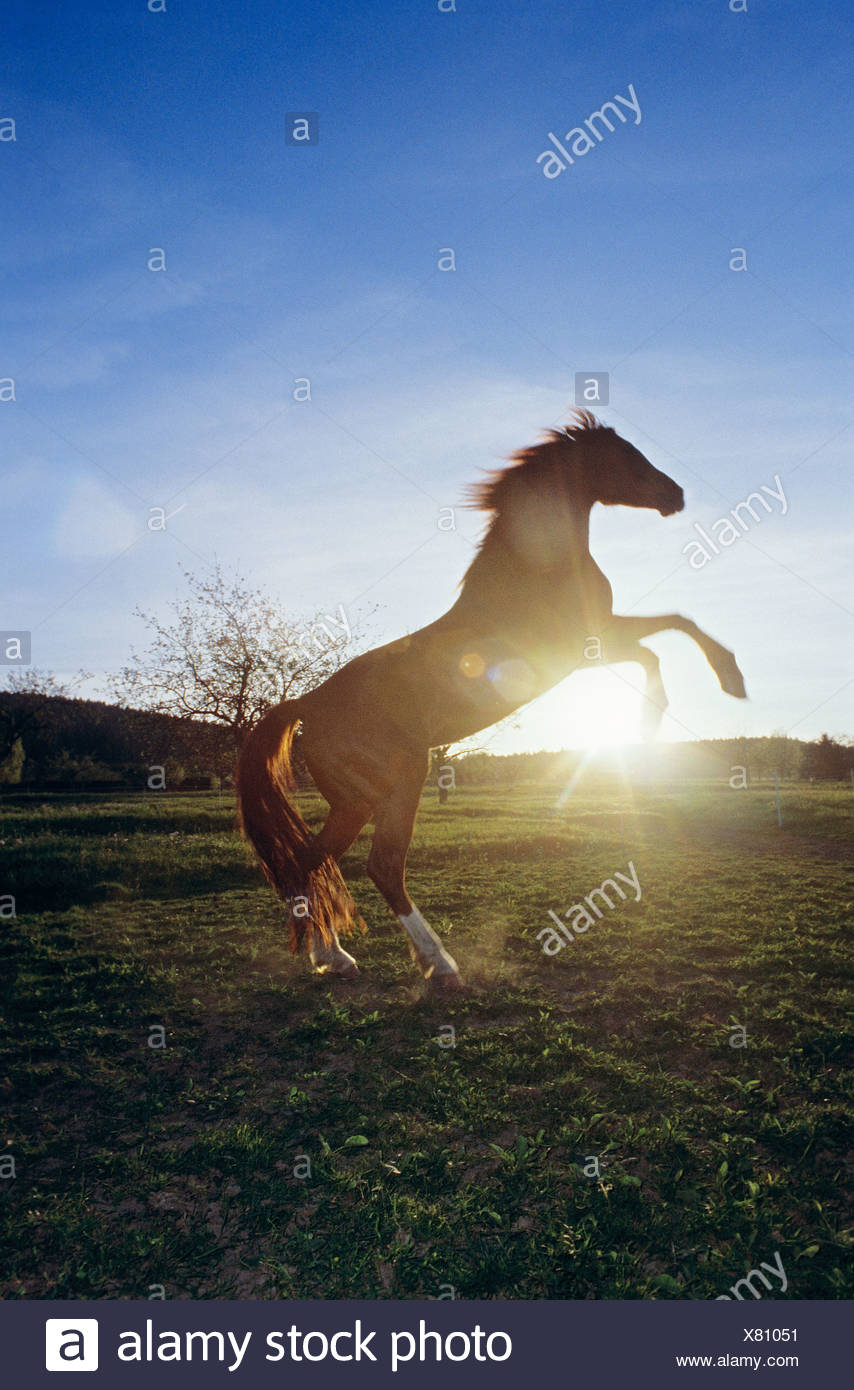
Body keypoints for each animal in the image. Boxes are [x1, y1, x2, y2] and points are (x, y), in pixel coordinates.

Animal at [236, 409, 746, 991]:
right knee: (377, 866)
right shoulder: (584, 648)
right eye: (625, 455)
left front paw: (679, 707)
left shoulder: (593, 646)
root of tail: (308, 704)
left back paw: (334, 956)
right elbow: (666, 636)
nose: (675, 494)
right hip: (395, 783)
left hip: (356, 801)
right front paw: (687, 702)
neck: (536, 568)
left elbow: (664, 634)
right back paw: (438, 965)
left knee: (310, 863)